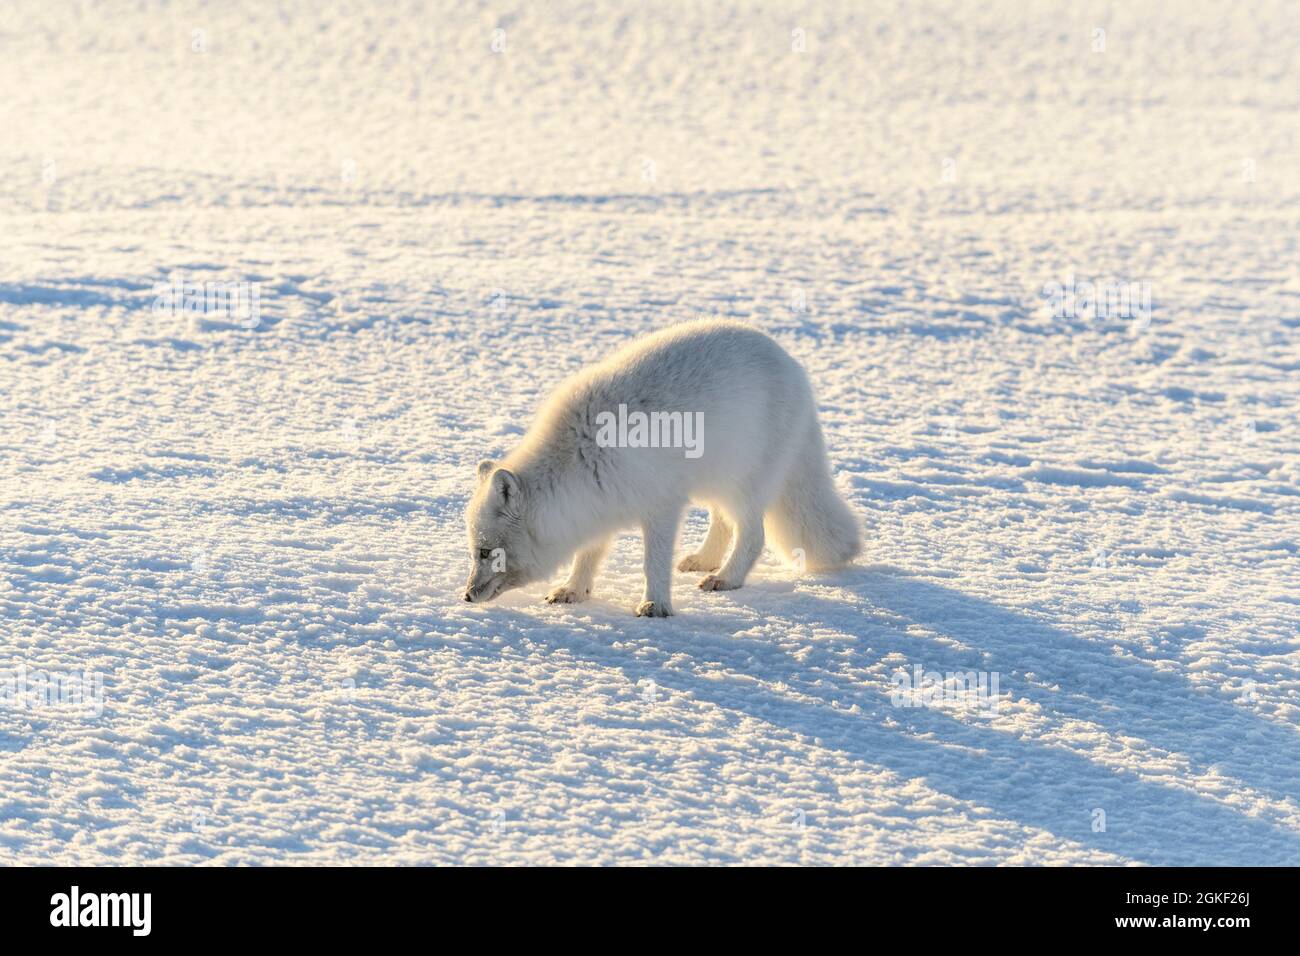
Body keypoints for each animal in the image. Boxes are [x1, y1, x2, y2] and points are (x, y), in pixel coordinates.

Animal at [463, 319, 861, 616]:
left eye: (485, 551)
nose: (466, 596)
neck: (580, 454)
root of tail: (794, 365)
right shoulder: (600, 503)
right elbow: (588, 553)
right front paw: (574, 589)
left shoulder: (662, 506)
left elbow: (652, 562)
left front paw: (655, 605)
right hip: (713, 483)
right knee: (722, 523)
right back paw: (704, 561)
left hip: (744, 487)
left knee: (752, 536)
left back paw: (726, 578)